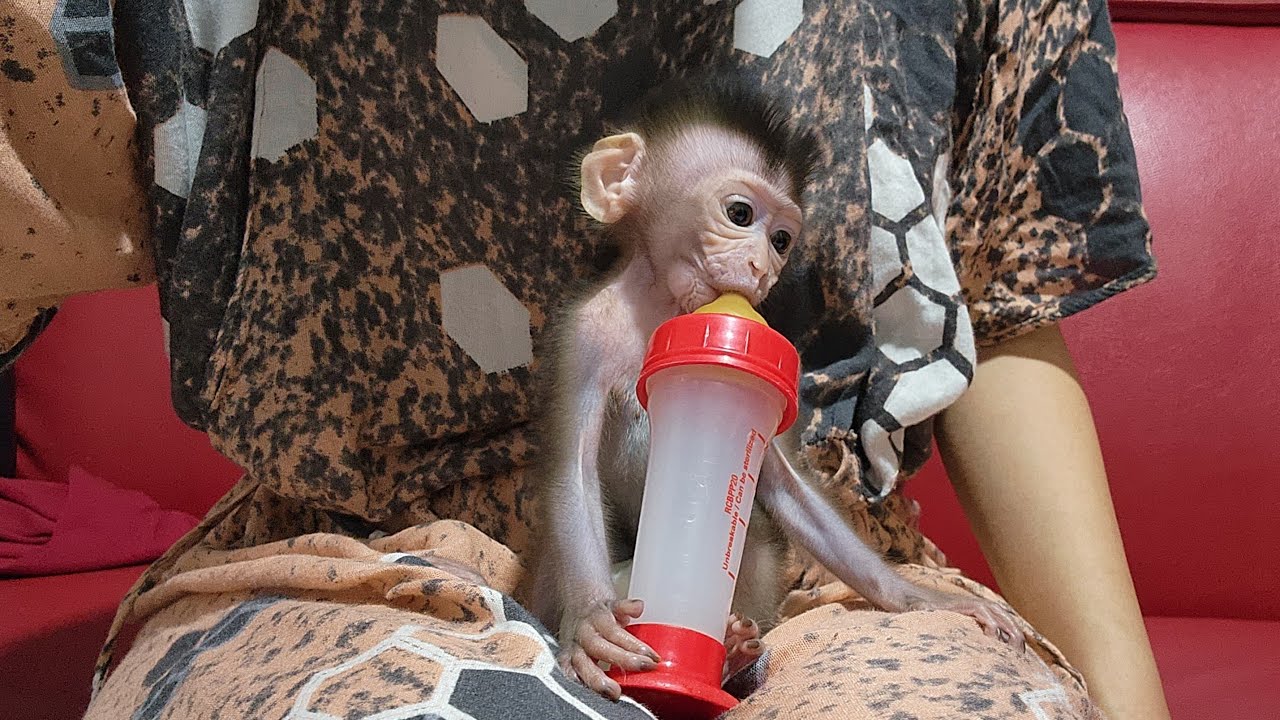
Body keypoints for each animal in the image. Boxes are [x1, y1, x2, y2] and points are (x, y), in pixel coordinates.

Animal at [522, 74, 1025, 701]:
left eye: (782, 239)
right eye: (740, 214)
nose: (762, 267)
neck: (663, 309)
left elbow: (791, 492)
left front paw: (923, 598)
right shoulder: (583, 336)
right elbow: (573, 469)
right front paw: (593, 623)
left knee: (760, 539)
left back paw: (734, 653)